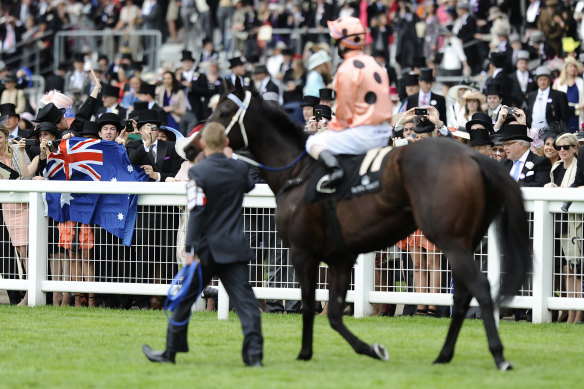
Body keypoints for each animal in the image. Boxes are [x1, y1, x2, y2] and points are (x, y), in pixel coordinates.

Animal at [200, 83, 528, 368]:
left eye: (225, 111)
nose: (198, 144)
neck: (300, 171)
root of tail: (474, 159)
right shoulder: (340, 256)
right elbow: (333, 313)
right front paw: (371, 349)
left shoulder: (303, 251)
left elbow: (310, 303)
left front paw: (305, 353)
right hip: (463, 242)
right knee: (461, 296)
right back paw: (444, 354)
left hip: (448, 241)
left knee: (479, 288)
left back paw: (498, 356)